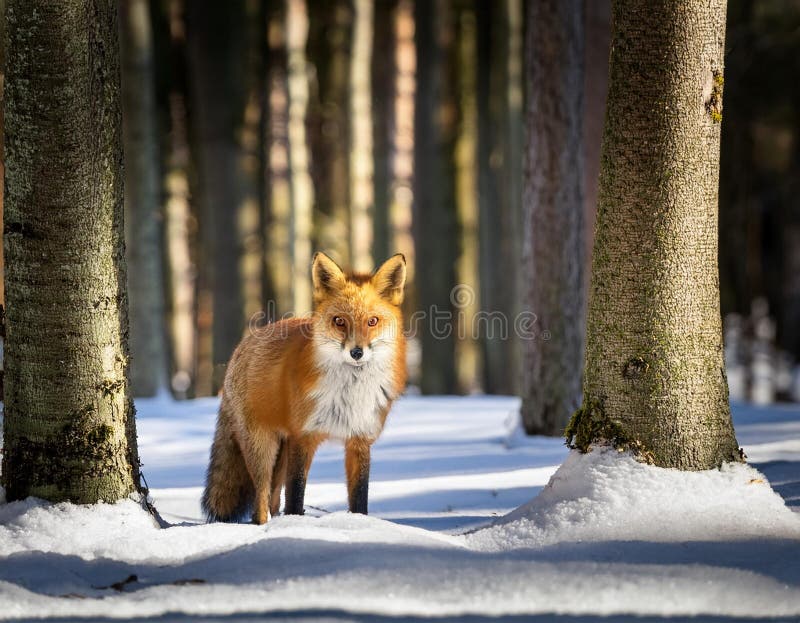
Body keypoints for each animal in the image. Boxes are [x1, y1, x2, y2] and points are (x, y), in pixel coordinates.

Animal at [201, 252, 407, 524]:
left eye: (372, 321)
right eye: (339, 321)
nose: (357, 352)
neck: (349, 393)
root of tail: (241, 347)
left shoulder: (359, 439)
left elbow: (359, 497)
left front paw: (358, 523)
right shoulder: (303, 436)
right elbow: (296, 494)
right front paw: (296, 524)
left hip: (280, 454)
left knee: (273, 499)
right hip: (263, 449)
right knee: (261, 502)